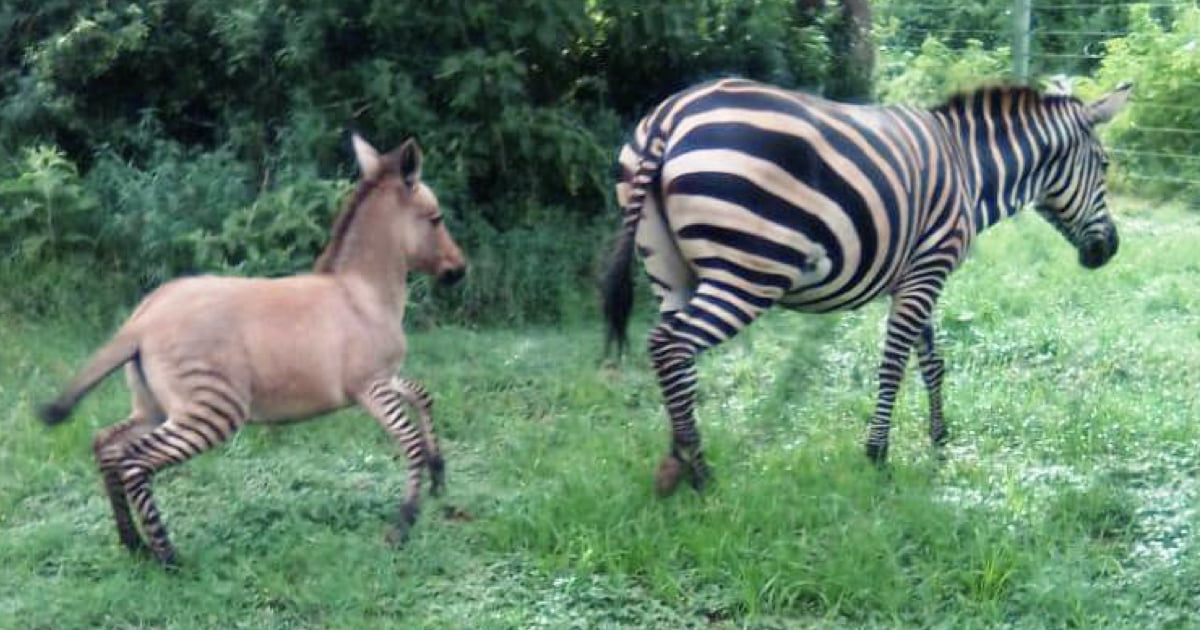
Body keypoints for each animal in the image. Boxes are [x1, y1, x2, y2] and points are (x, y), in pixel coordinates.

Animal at [37, 134, 465, 567]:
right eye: (437, 218)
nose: (460, 271)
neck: (362, 293)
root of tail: (142, 320)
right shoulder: (370, 386)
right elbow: (410, 443)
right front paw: (403, 525)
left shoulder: (384, 379)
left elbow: (423, 396)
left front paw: (438, 474)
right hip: (211, 409)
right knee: (134, 460)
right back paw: (168, 558)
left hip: (154, 407)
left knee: (106, 445)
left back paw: (132, 543)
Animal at [602, 77, 1131, 495]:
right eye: (1105, 165)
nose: (1110, 250)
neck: (970, 168)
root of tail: (671, 115)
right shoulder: (928, 268)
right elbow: (894, 364)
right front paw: (878, 454)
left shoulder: (917, 273)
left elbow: (932, 362)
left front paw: (940, 440)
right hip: (749, 271)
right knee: (671, 346)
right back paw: (700, 472)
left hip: (670, 271)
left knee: (672, 356)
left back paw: (676, 458)